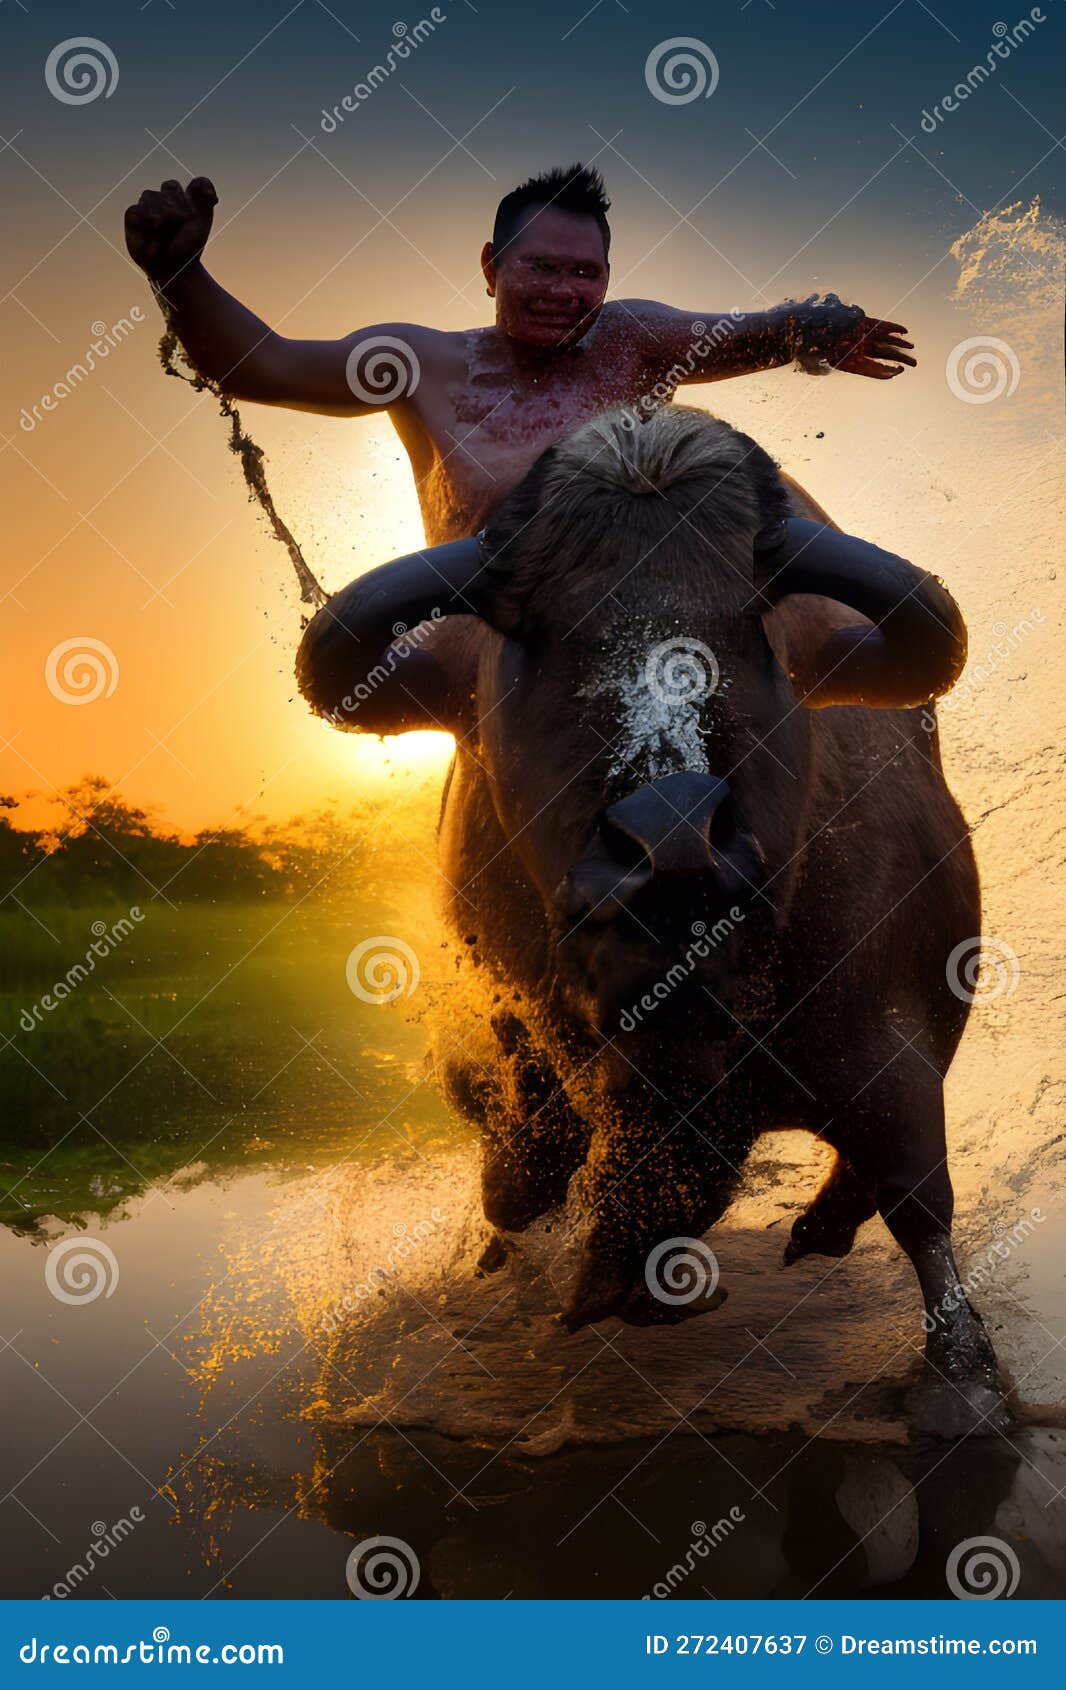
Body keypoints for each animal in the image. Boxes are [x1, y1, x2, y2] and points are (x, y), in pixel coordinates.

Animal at [297, 404, 1006, 1437]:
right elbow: (572, 1171)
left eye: (749, 628)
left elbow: (918, 1194)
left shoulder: (892, 1039)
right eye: (540, 635)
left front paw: (964, 1377)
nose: (671, 842)